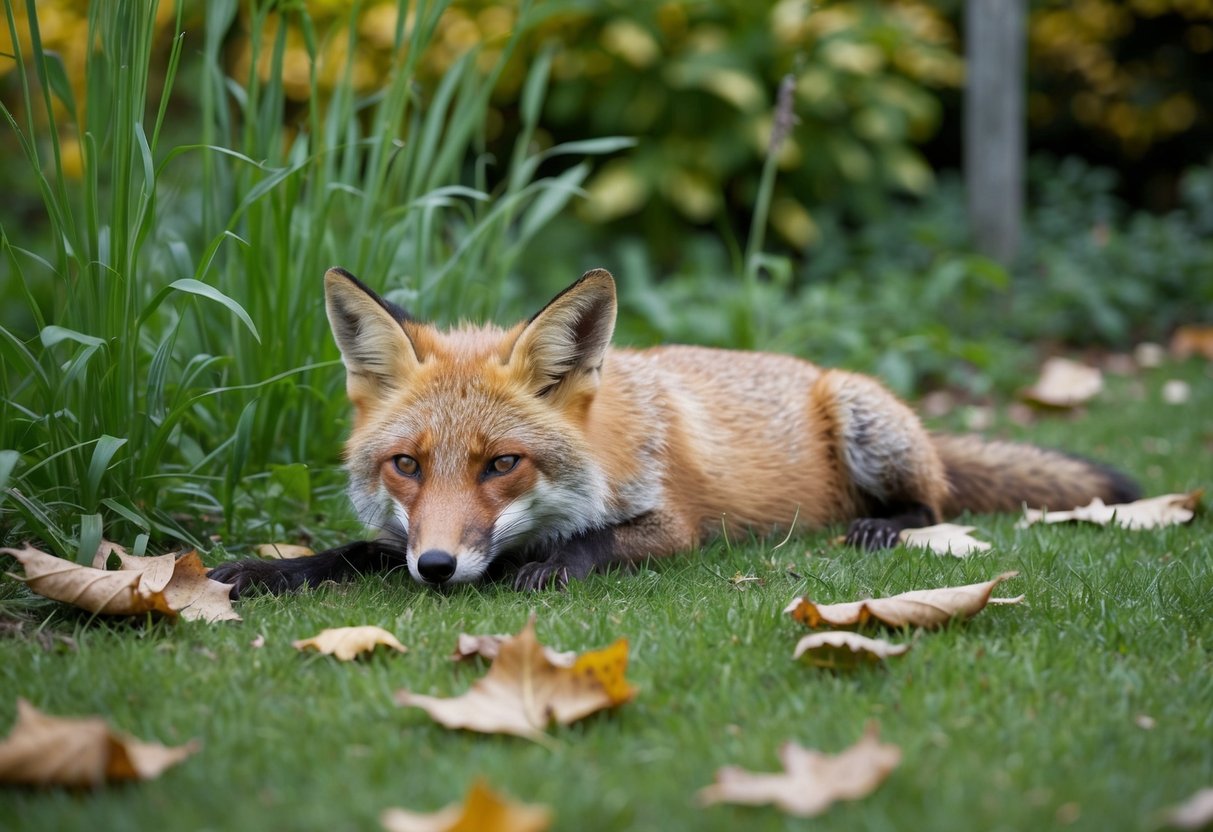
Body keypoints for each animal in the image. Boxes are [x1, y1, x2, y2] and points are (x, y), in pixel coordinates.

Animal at [209, 267, 1139, 595]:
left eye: (502, 464)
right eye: (405, 464)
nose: (435, 570)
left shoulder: (676, 523)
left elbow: (593, 541)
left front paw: (547, 564)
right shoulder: (406, 535)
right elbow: (359, 551)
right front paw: (266, 570)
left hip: (866, 425)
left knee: (937, 501)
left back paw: (882, 524)